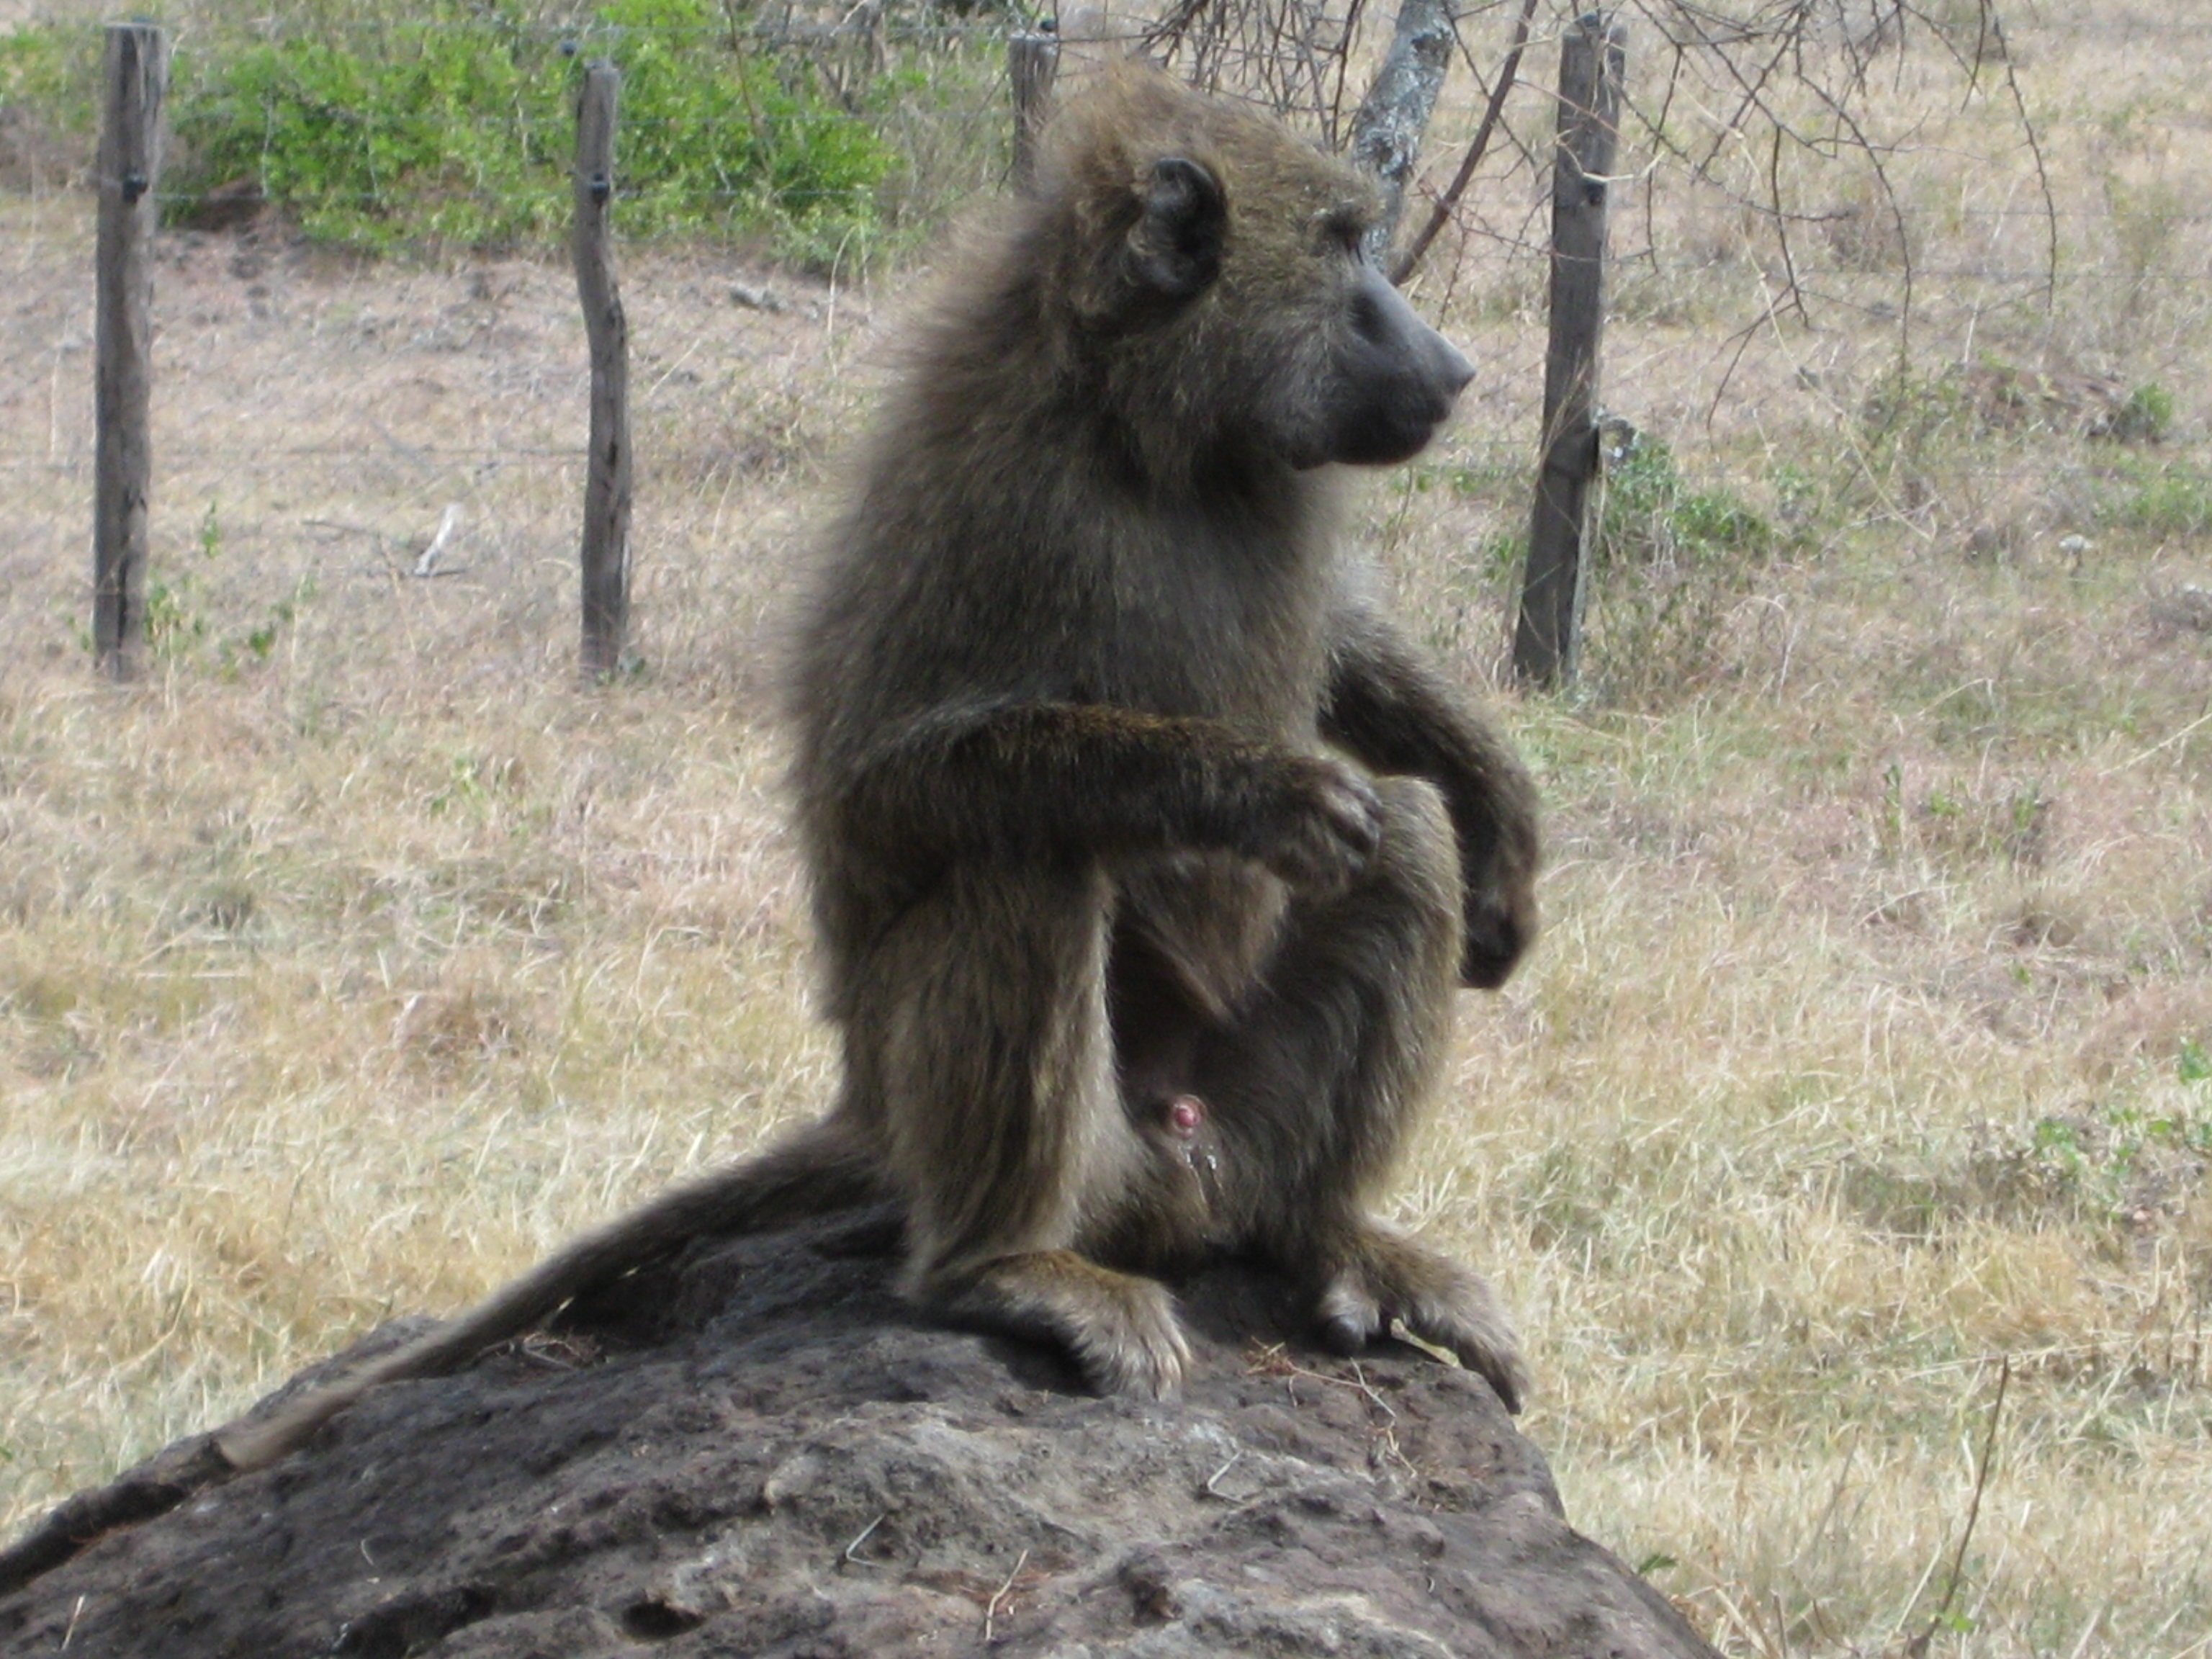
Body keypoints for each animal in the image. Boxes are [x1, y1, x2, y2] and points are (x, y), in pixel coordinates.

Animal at [212, 62, 1538, 1478]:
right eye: (1343, 245)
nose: (1454, 364)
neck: (1139, 424)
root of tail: (873, 1115)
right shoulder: (1002, 507)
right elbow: (891, 782)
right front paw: (1258, 791)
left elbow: (1348, 662)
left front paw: (1502, 824)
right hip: (1076, 1150)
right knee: (1031, 855)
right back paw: (1004, 1266)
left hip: (1228, 1138)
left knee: (1403, 838)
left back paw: (1331, 1236)